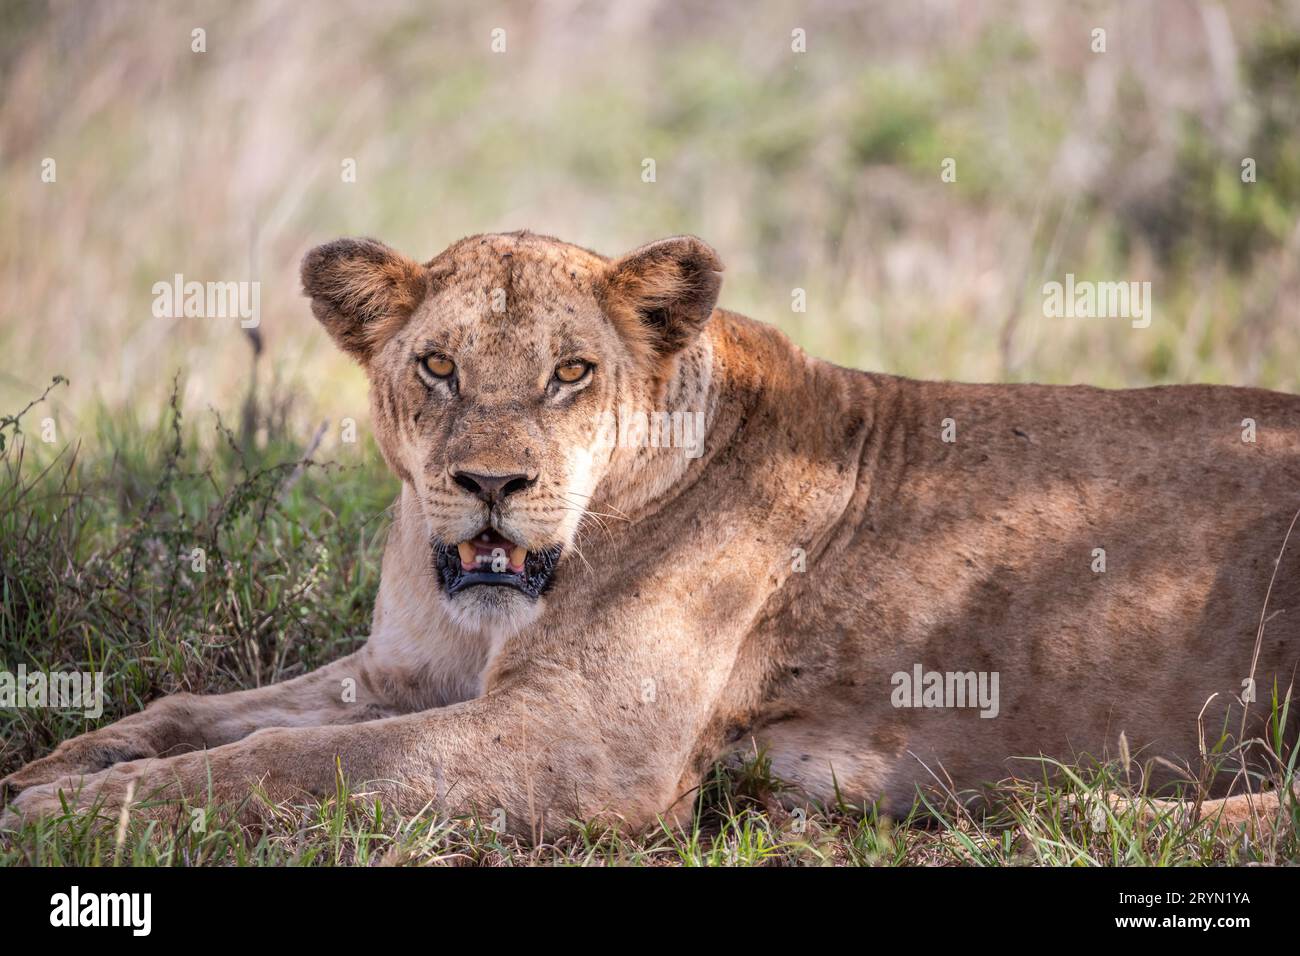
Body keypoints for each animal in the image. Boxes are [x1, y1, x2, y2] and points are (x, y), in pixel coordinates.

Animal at [4, 230, 1299, 836]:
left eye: (572, 371)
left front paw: (67, 816)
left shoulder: (583, 742)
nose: (490, 481)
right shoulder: (401, 671)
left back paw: (1070, 807)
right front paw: (61, 764)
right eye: (439, 364)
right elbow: (201, 712)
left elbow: (289, 761)